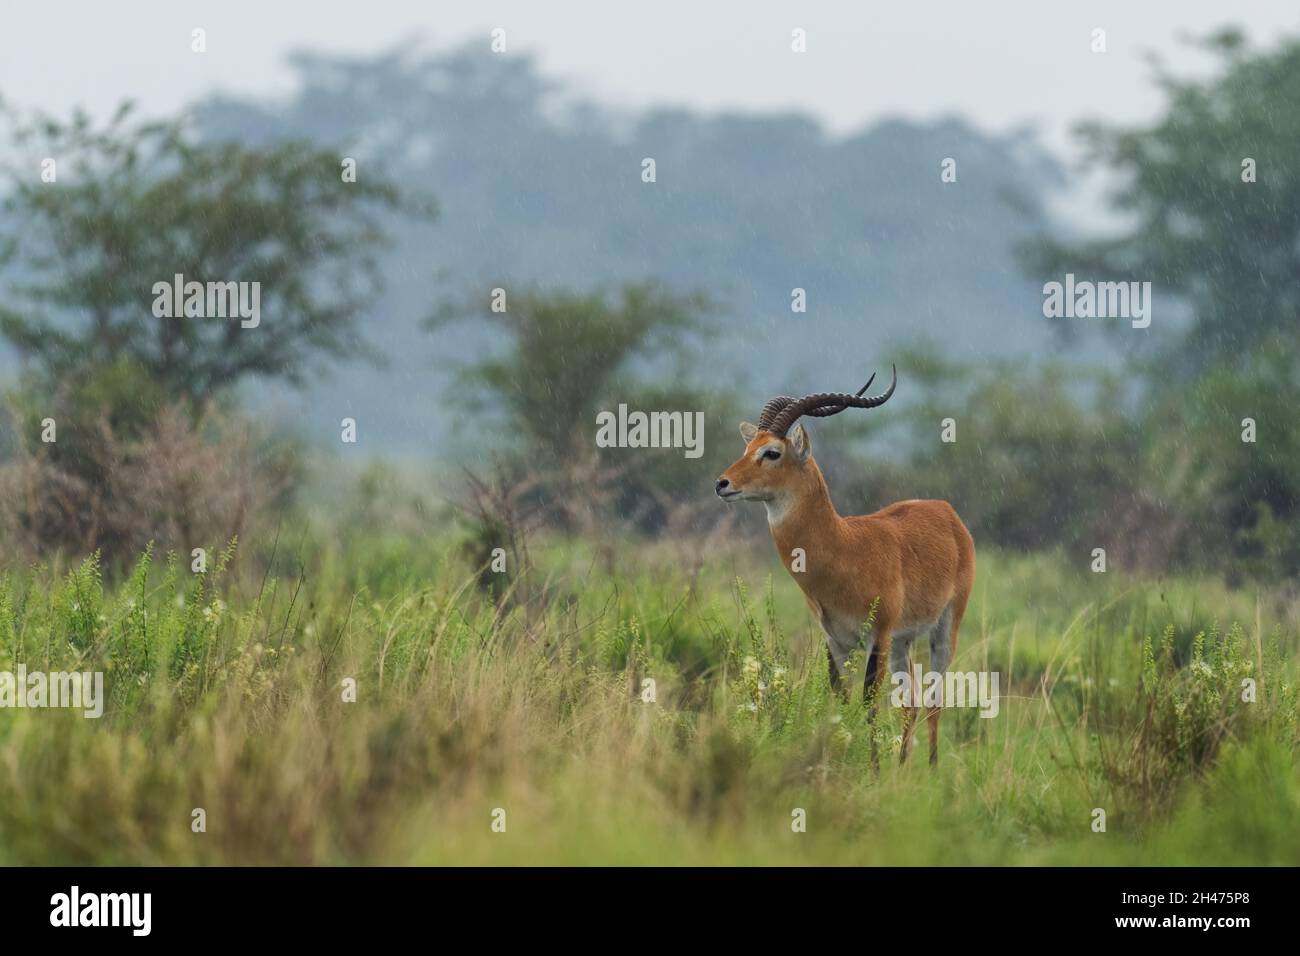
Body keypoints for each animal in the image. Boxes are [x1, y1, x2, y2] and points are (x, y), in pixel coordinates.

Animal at [715, 367, 975, 765]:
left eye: (772, 452)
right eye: (747, 447)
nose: (722, 483)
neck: (844, 547)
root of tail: (945, 511)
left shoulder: (876, 635)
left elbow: (869, 704)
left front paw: (873, 770)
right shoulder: (835, 640)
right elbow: (841, 700)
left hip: (944, 628)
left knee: (934, 698)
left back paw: (930, 770)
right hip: (902, 641)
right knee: (911, 702)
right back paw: (902, 768)